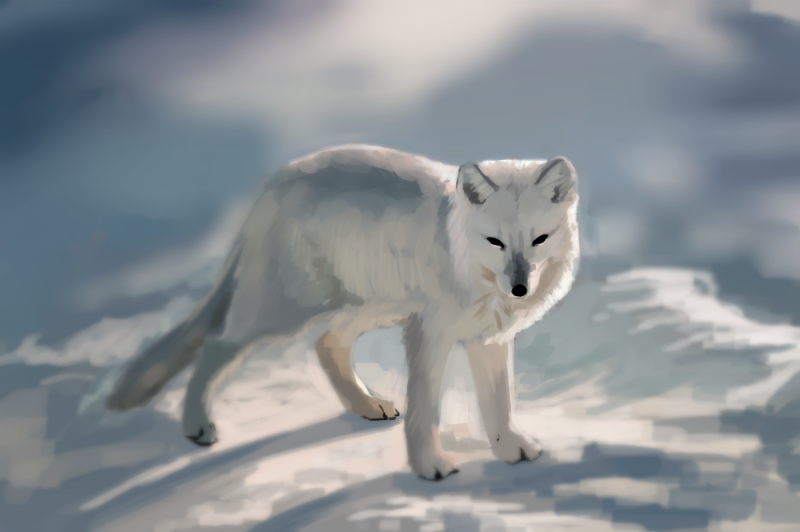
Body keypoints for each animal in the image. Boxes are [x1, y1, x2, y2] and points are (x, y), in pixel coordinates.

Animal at [106, 144, 580, 481]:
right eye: (495, 241)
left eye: (539, 239)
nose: (519, 288)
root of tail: (273, 185)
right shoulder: (430, 334)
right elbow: (427, 407)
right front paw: (430, 468)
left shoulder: (488, 339)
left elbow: (499, 403)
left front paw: (511, 450)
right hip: (282, 311)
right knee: (217, 344)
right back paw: (197, 427)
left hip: (369, 307)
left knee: (324, 342)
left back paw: (367, 404)